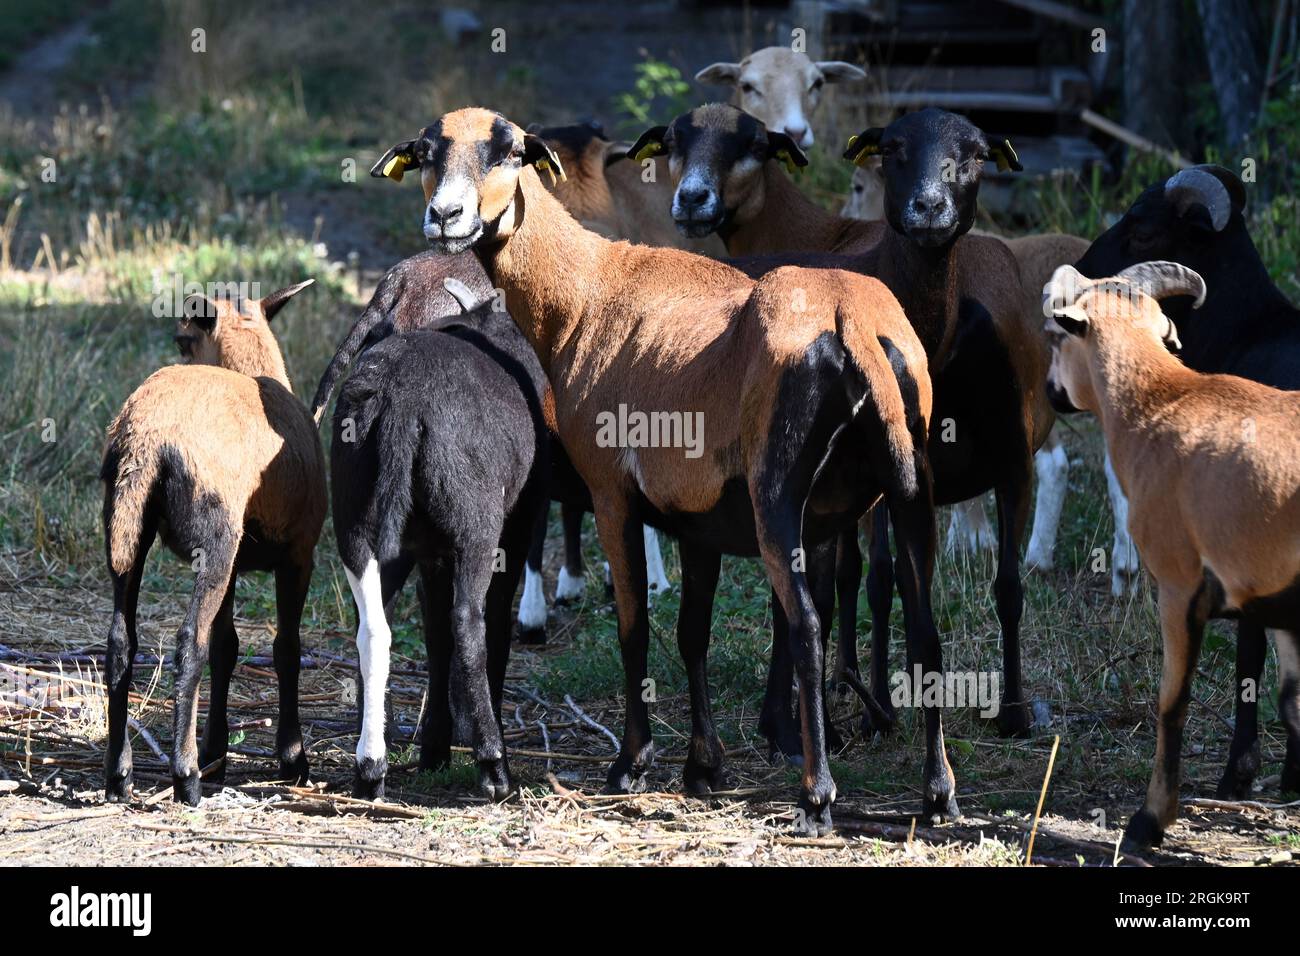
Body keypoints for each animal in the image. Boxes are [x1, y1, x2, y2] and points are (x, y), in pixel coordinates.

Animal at [100, 279, 323, 805]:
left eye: (183, 342)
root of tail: (144, 436)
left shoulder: (240, 562)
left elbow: (228, 646)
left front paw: (218, 752)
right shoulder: (299, 553)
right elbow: (286, 648)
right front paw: (293, 759)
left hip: (129, 533)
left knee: (121, 643)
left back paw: (120, 775)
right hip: (215, 538)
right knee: (188, 644)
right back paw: (186, 776)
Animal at [332, 276, 550, 800]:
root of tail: (401, 399)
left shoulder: (429, 552)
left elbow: (433, 635)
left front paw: (434, 749)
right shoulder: (517, 523)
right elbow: (485, 626)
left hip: (355, 524)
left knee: (374, 629)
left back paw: (370, 767)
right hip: (478, 525)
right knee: (469, 623)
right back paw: (495, 767)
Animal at [372, 107, 953, 831]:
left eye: (508, 151)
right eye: (427, 153)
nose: (445, 216)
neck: (585, 294)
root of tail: (853, 325)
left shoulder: (613, 494)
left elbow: (635, 629)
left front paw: (632, 763)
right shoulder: (702, 518)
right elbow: (691, 634)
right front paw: (703, 768)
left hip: (779, 496)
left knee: (806, 628)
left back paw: (817, 795)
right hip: (909, 483)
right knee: (926, 630)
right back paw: (937, 794)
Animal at [1042, 260, 1300, 852]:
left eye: (1056, 337)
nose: (1050, 393)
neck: (1163, 400)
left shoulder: (1179, 584)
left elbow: (1171, 704)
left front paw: (1149, 821)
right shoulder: (1281, 607)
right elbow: (1293, 705)